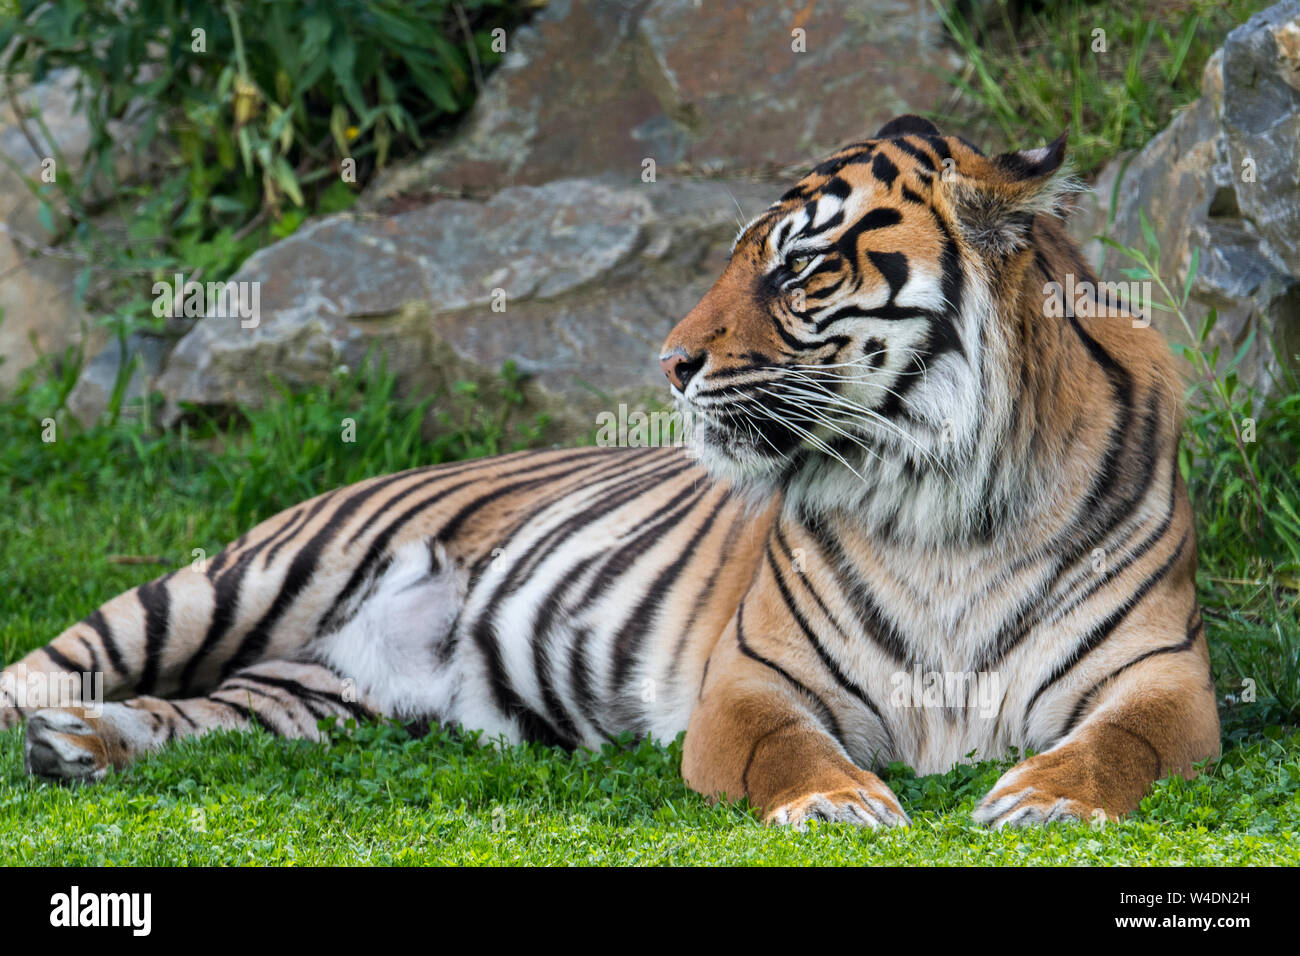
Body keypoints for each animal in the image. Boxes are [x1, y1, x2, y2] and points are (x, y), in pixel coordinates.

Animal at [1, 115, 1219, 830]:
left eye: (800, 269)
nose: (670, 364)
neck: (941, 498)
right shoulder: (749, 684)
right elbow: (791, 750)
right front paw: (840, 805)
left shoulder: (1165, 680)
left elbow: (1118, 744)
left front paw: (1040, 798)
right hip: (242, 576)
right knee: (55, 663)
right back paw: (59, 728)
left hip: (320, 694)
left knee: (205, 710)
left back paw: (86, 745)